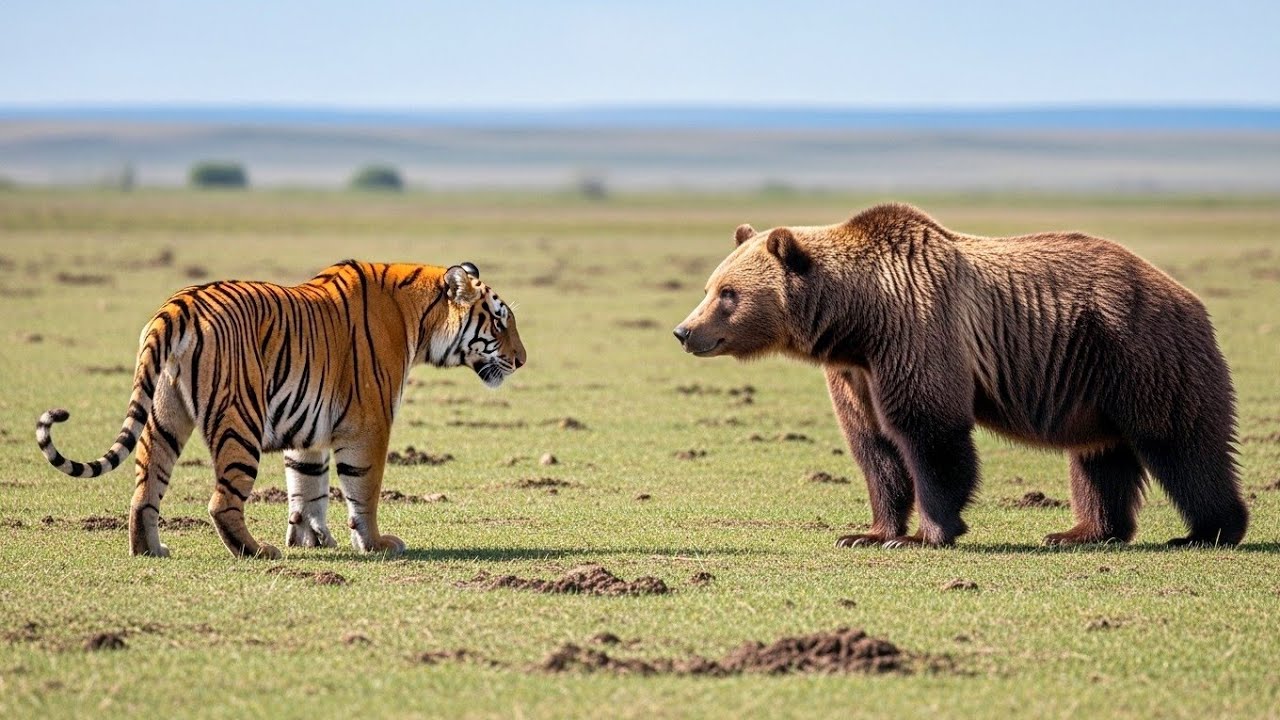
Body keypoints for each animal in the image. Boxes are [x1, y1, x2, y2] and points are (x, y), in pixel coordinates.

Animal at [35, 260, 526, 559]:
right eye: (500, 321)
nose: (522, 360)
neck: (419, 320)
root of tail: (179, 305)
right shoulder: (369, 424)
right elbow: (362, 490)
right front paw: (374, 543)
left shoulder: (310, 428)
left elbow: (308, 489)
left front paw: (312, 540)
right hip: (241, 421)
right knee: (222, 501)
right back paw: (256, 551)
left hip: (165, 414)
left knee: (145, 487)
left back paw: (150, 549)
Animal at [673, 203, 1248, 548]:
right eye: (709, 286)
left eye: (729, 294)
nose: (685, 330)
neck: (859, 318)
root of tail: (1183, 293)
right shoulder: (855, 373)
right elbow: (874, 448)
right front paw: (866, 531)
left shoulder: (916, 335)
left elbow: (928, 433)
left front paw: (926, 533)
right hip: (1094, 382)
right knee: (1099, 454)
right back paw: (1082, 531)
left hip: (1140, 352)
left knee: (1181, 442)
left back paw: (1209, 531)